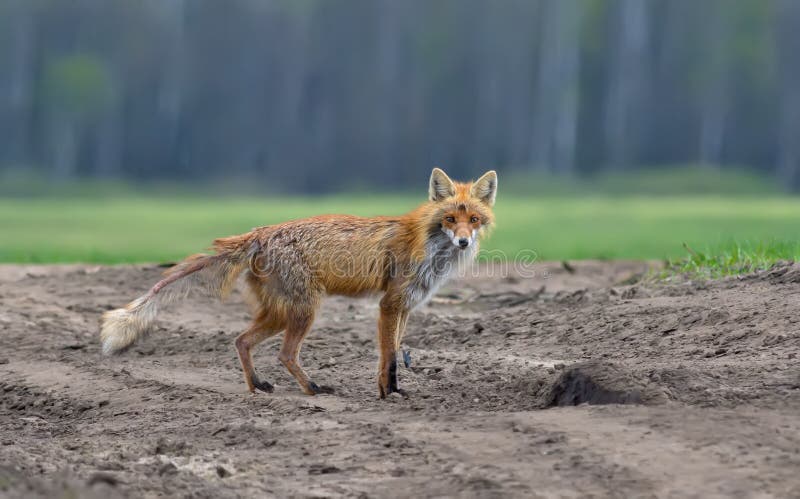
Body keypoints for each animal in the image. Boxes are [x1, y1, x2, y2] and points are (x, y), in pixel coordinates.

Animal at [100, 168, 497, 398]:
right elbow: (389, 357)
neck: (428, 244)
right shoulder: (390, 304)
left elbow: (396, 352)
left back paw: (257, 386)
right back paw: (312, 389)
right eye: (450, 219)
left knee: (241, 340)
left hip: (279, 313)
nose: (464, 242)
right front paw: (389, 394)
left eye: (474, 220)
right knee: (285, 353)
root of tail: (260, 231)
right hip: (305, 310)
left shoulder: (406, 306)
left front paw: (393, 391)